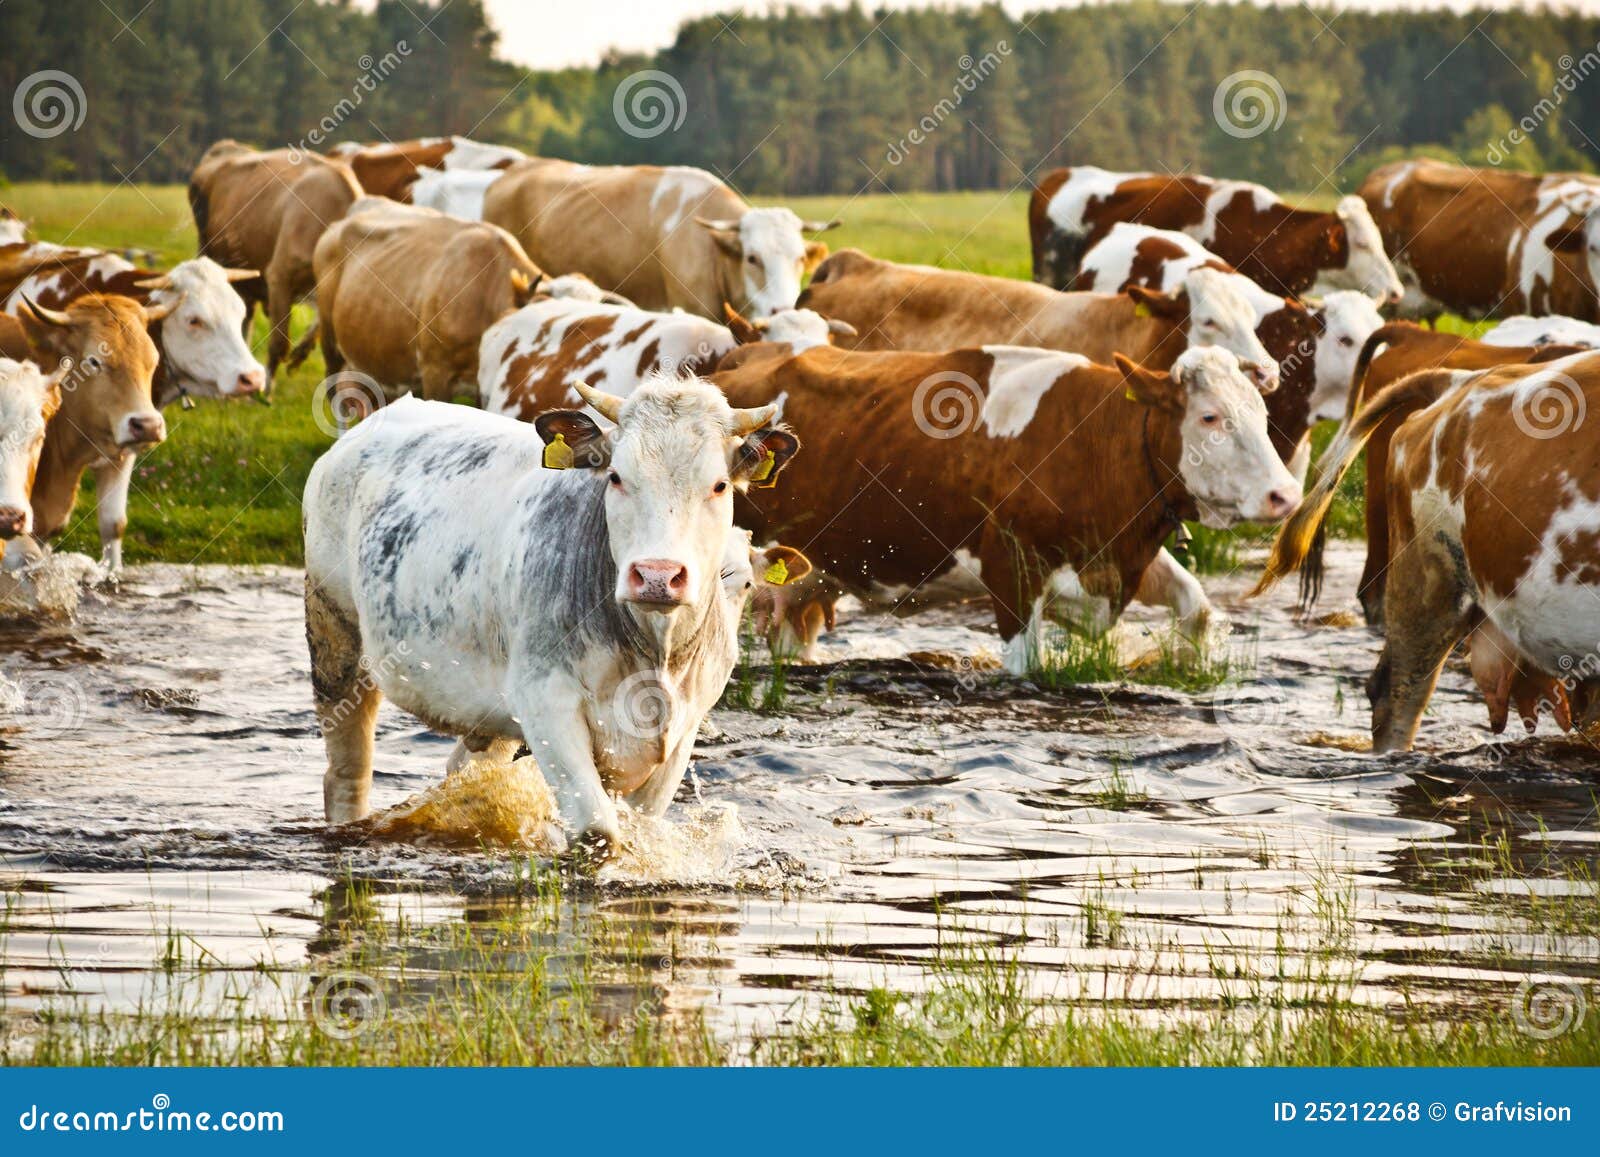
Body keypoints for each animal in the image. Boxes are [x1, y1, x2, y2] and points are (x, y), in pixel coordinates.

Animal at [188, 140, 363, 384]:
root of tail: (230, 146)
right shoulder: (279, 276)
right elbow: (278, 345)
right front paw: (265, 388)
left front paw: (301, 352)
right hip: (207, 250)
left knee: (245, 317)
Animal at [301, 379, 800, 857]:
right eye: (616, 477)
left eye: (718, 485)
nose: (657, 575)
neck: (654, 651)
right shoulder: (546, 702)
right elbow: (599, 834)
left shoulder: (684, 727)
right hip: (333, 632)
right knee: (348, 770)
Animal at [710, 344, 1298, 673]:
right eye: (1209, 416)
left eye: (1262, 411)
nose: (1286, 495)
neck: (1094, 438)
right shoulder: (1013, 571)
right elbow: (1027, 667)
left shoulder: (1117, 555)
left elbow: (1197, 610)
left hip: (811, 579)